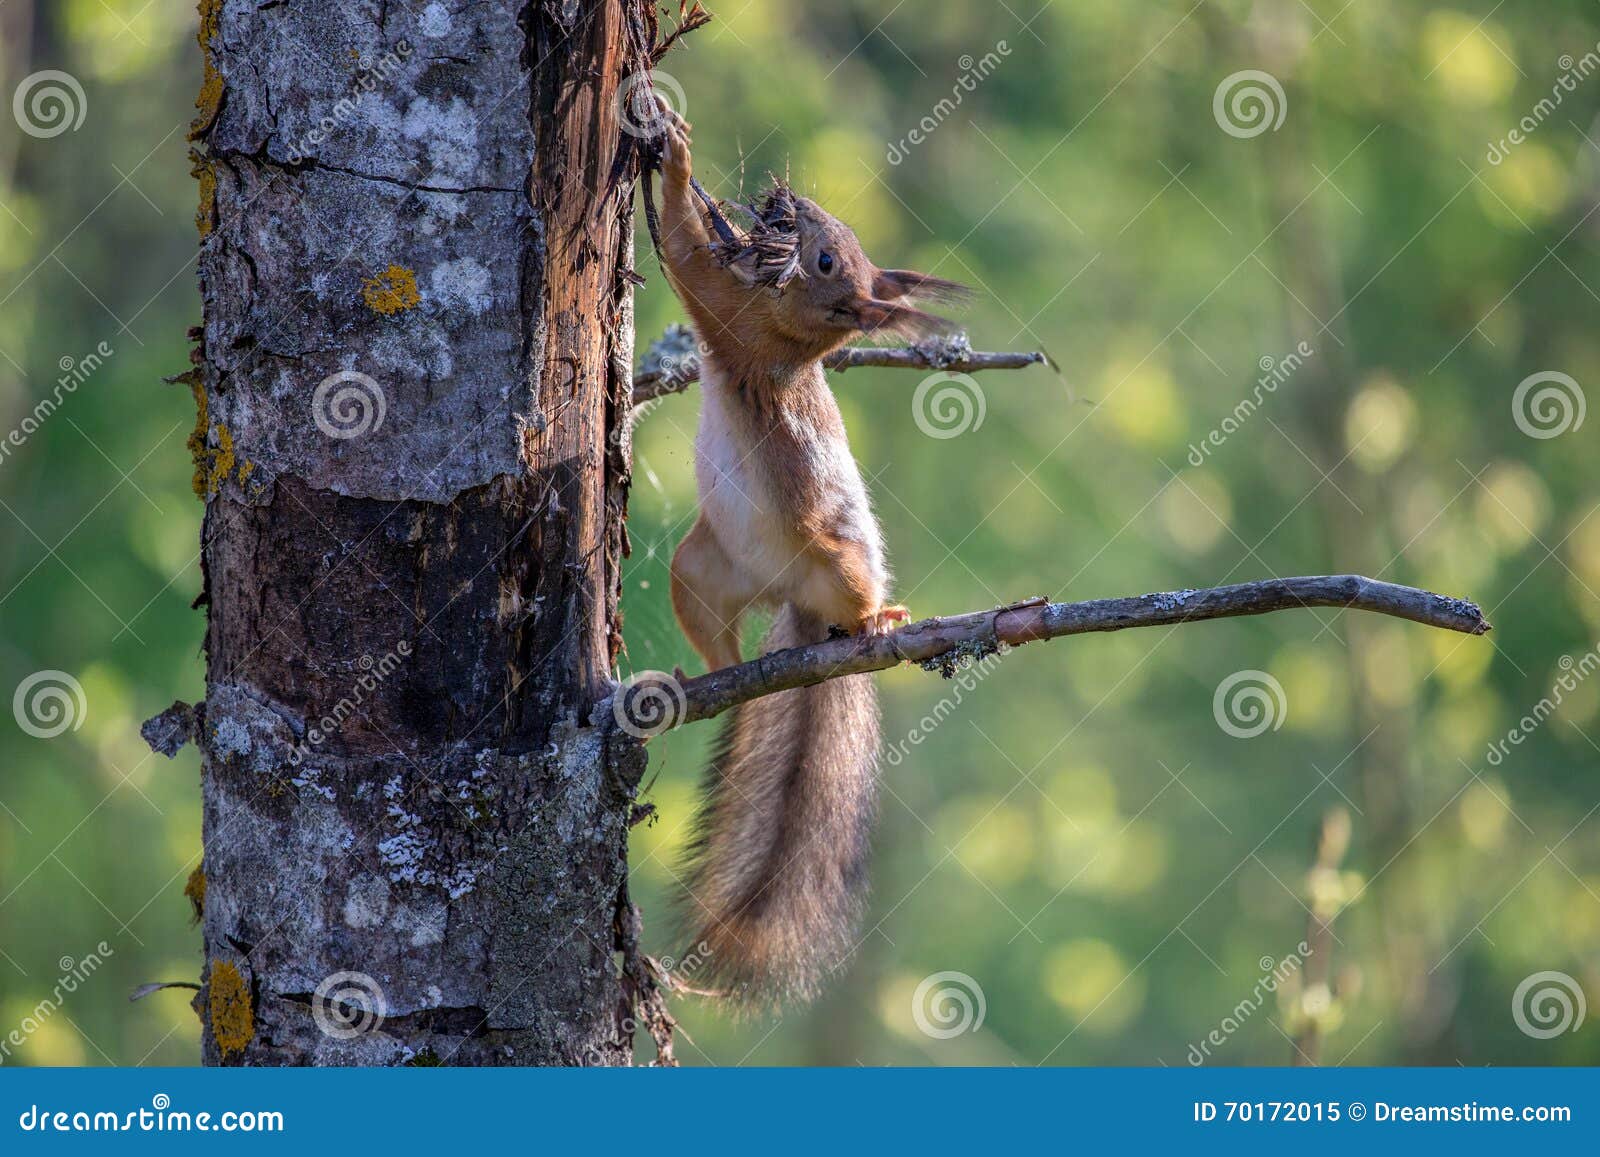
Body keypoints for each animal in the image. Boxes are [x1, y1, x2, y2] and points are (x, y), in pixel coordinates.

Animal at [647, 98, 967, 1006]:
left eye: (826, 258)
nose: (788, 201)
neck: (795, 337)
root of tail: (798, 606)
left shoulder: (730, 313)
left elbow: (684, 249)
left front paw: (674, 155)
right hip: (703, 569)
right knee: (718, 642)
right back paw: (704, 676)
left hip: (837, 562)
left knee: (856, 599)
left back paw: (876, 620)